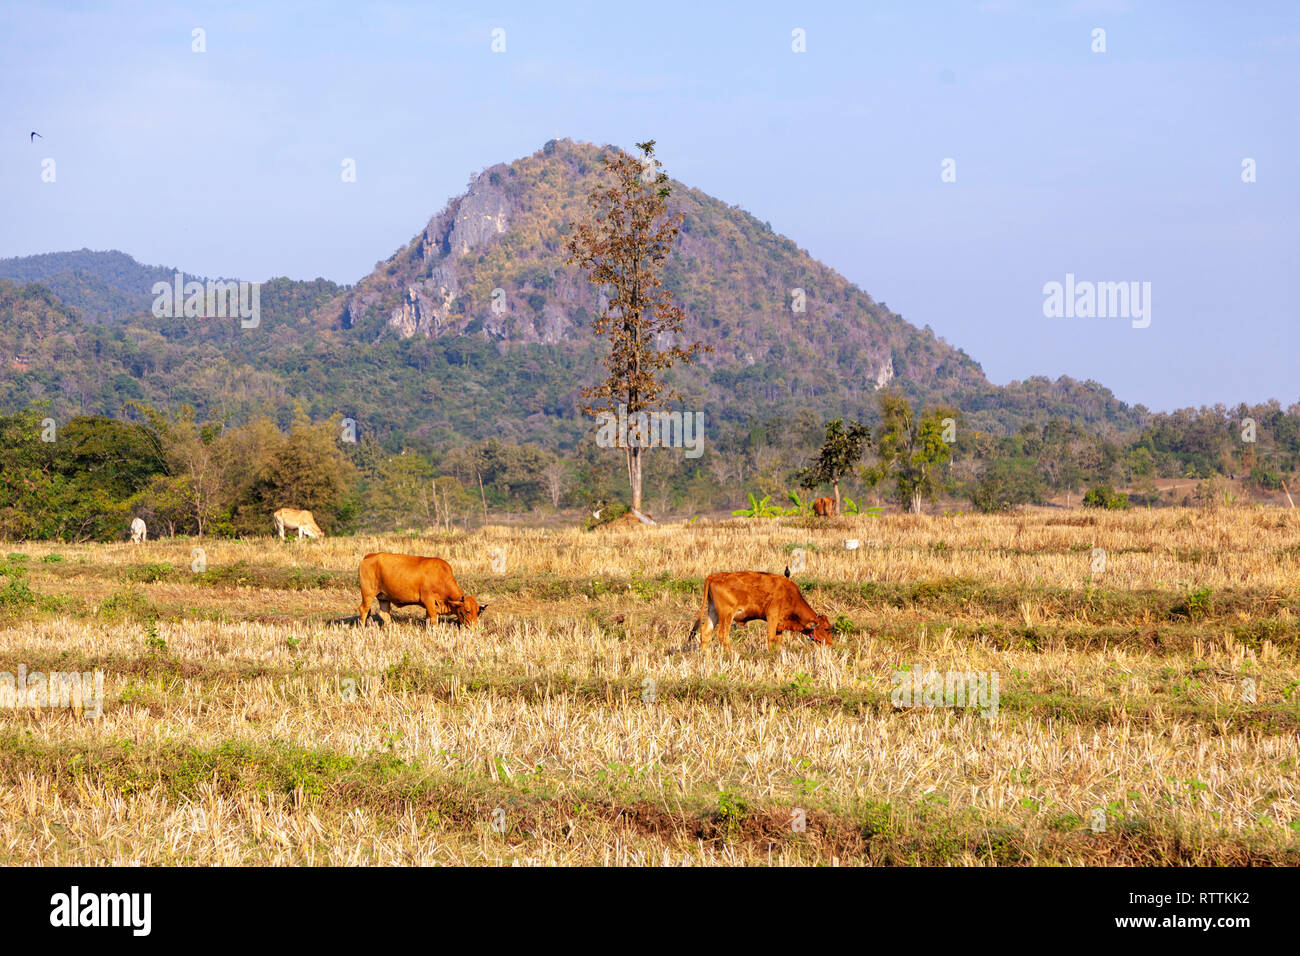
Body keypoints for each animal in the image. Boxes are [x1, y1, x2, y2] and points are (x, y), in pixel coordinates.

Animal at [357, 552, 487, 628]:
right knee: (364, 610)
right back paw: (363, 629)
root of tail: (369, 556)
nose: (474, 628)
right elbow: (434, 620)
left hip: (384, 597)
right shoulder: (428, 601)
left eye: (478, 611)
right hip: (368, 594)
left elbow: (429, 620)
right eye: (467, 611)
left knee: (384, 613)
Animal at [687, 569, 834, 651]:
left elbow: (777, 641)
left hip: (714, 613)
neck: (790, 595)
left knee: (705, 632)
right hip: (726, 615)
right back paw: (731, 654)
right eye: (826, 629)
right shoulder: (772, 617)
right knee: (722, 635)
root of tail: (715, 576)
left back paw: (704, 656)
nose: (831, 644)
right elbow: (771, 638)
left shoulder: (780, 624)